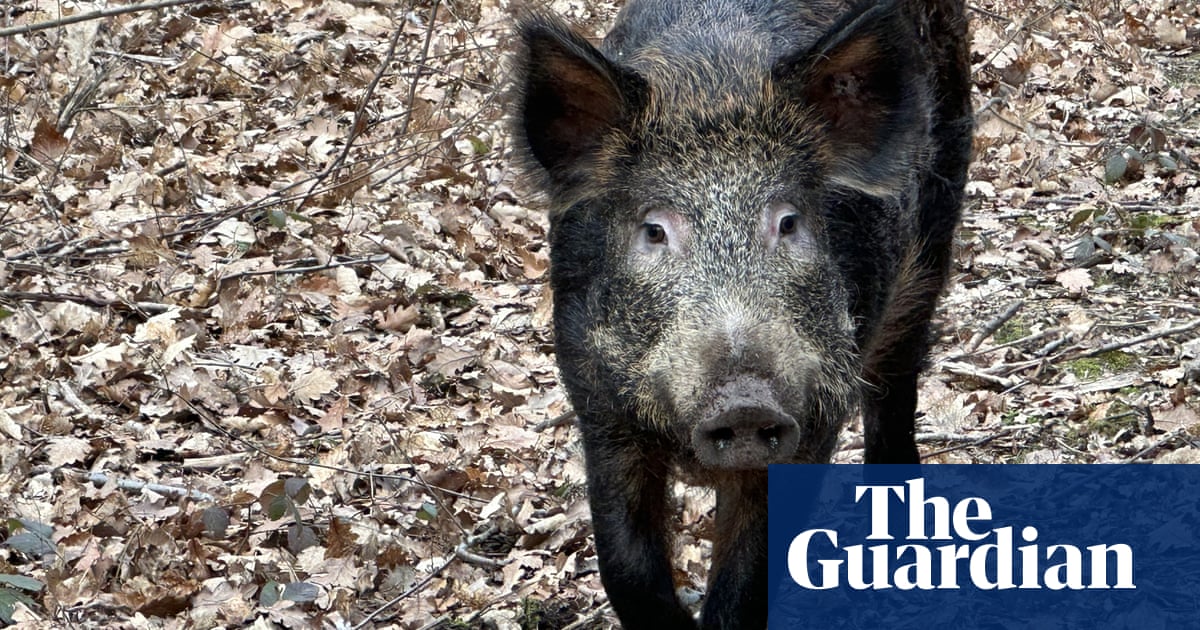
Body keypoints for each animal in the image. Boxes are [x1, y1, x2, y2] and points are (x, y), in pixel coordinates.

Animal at [510, 0, 972, 627]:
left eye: (789, 222)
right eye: (654, 230)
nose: (745, 399)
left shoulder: (812, 416)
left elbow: (747, 582)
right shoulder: (599, 406)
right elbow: (626, 566)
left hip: (931, 241)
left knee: (897, 380)